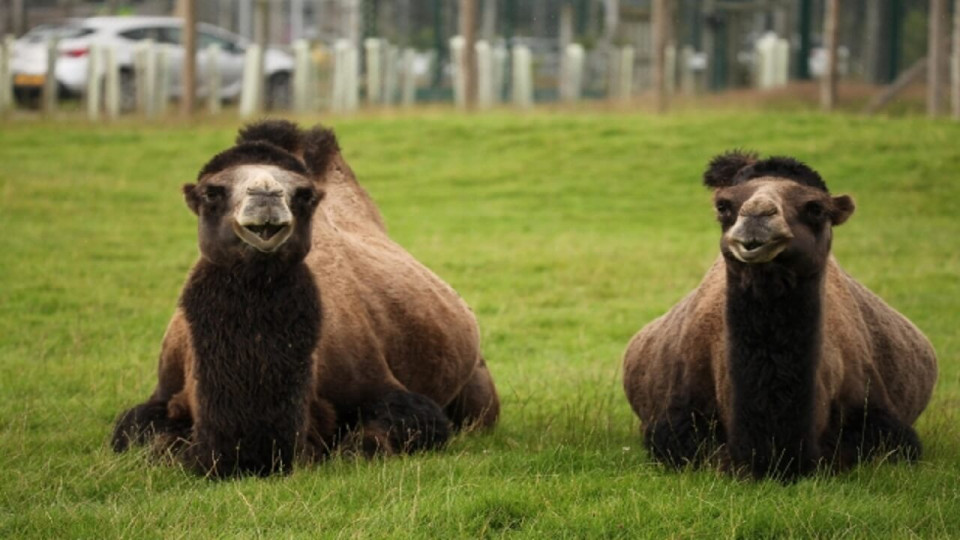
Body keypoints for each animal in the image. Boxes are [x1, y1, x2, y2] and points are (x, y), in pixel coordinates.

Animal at [112, 120, 499, 477]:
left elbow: (372, 441)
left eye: (305, 194)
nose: (266, 196)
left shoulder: (392, 394)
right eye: (211, 193)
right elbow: (143, 437)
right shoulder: (163, 393)